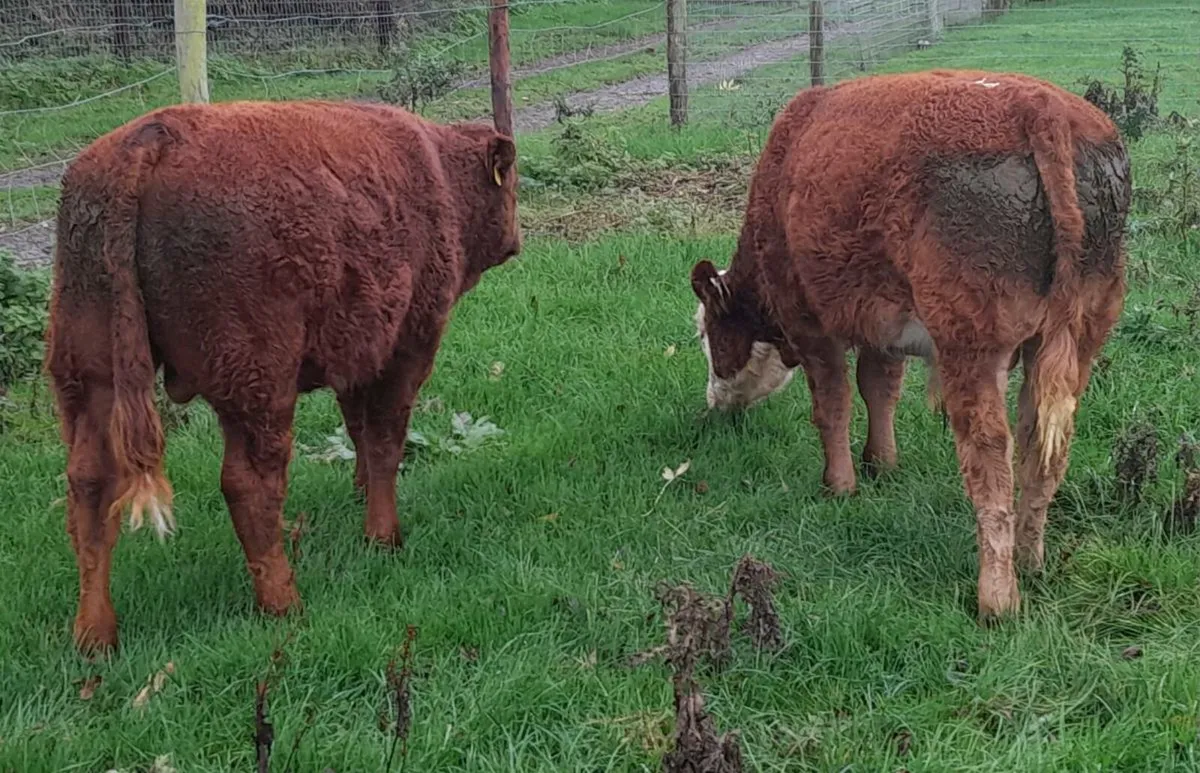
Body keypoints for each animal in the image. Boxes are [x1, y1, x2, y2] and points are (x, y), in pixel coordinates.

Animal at [45, 99, 521, 654]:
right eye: (510, 182)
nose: (516, 240)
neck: (438, 169)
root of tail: (151, 137)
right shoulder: (406, 346)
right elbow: (386, 439)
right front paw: (383, 537)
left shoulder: (354, 354)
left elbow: (359, 430)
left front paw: (360, 493)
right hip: (258, 386)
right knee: (249, 484)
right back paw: (283, 602)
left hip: (91, 379)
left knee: (90, 485)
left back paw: (94, 634)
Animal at [690, 70, 1130, 622]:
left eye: (707, 334)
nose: (713, 402)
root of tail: (1041, 105)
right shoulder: (883, 326)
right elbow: (880, 388)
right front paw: (881, 462)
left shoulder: (810, 324)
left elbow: (832, 404)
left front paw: (839, 484)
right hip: (1084, 330)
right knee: (1044, 445)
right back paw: (1031, 562)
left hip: (970, 343)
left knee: (990, 453)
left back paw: (997, 598)